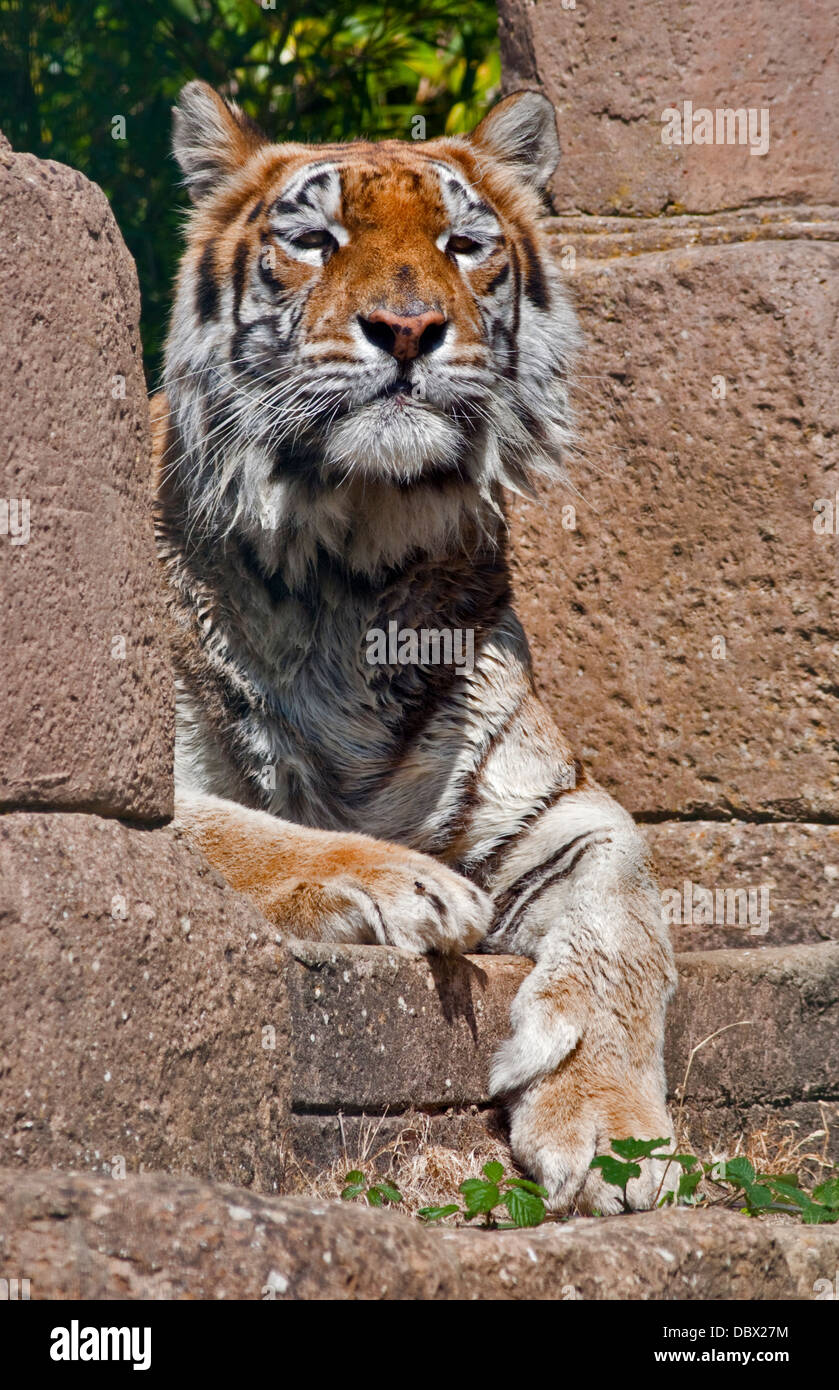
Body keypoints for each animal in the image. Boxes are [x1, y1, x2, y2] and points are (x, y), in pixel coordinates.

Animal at [151, 79, 677, 1214]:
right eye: (313, 238)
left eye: (462, 242)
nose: (406, 329)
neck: (352, 564)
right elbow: (224, 827)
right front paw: (401, 884)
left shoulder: (564, 815)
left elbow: (627, 930)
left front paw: (611, 1133)